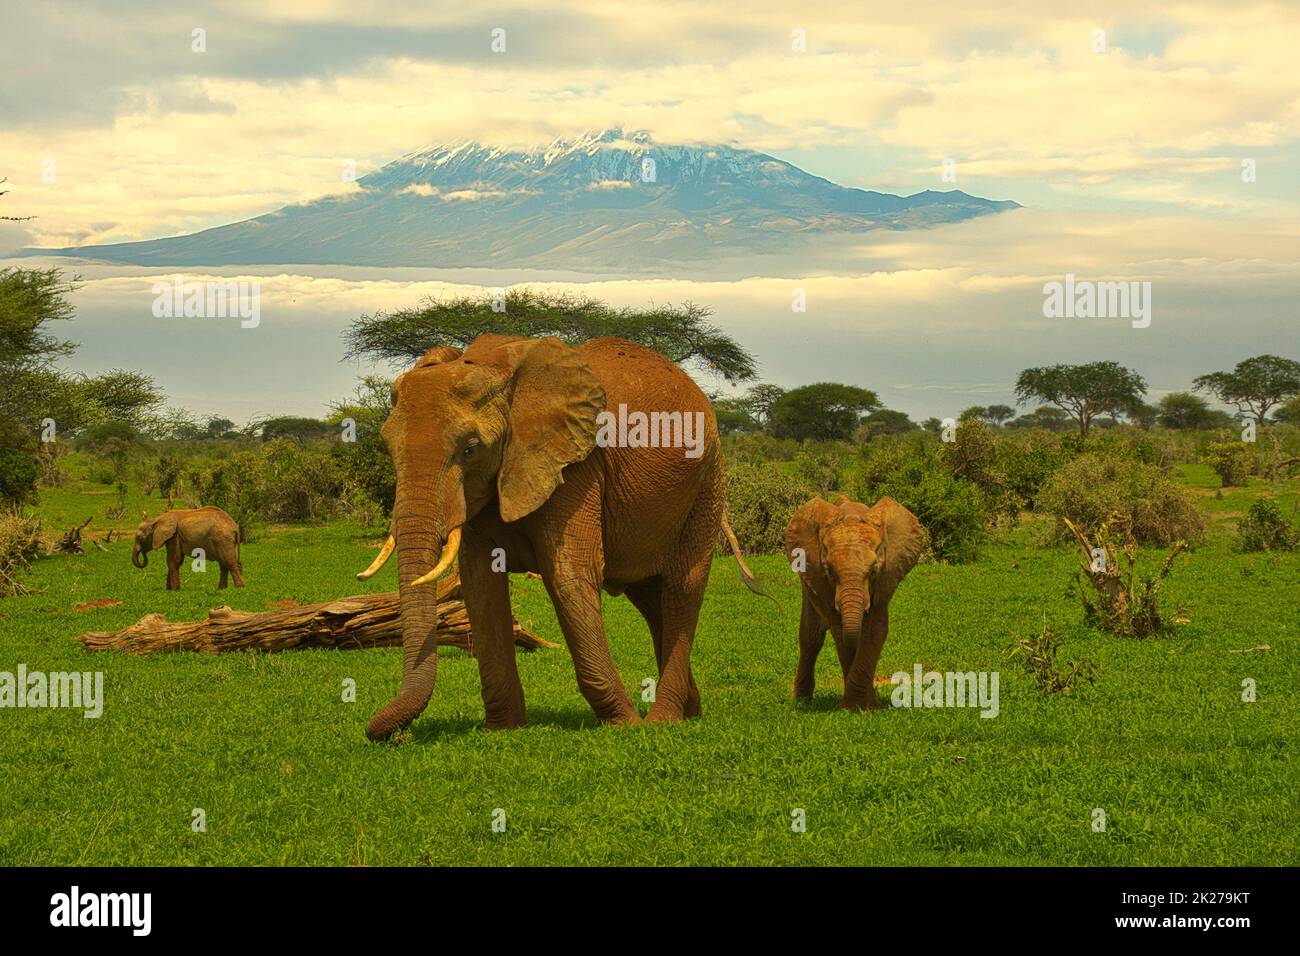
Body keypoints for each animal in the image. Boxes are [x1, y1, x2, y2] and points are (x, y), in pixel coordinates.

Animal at [356, 333, 758, 741]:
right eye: (388, 447)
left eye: (470, 449)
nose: (382, 733)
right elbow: (480, 583)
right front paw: (501, 730)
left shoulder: (577, 466)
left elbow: (568, 571)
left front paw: (624, 724)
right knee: (650, 598)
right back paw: (690, 712)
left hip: (708, 480)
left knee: (682, 587)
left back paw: (663, 719)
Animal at [784, 495, 923, 710]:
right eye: (829, 572)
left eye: (873, 571)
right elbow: (840, 631)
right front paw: (855, 707)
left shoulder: (886, 578)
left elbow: (875, 630)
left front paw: (868, 707)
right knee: (811, 637)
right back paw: (802, 702)